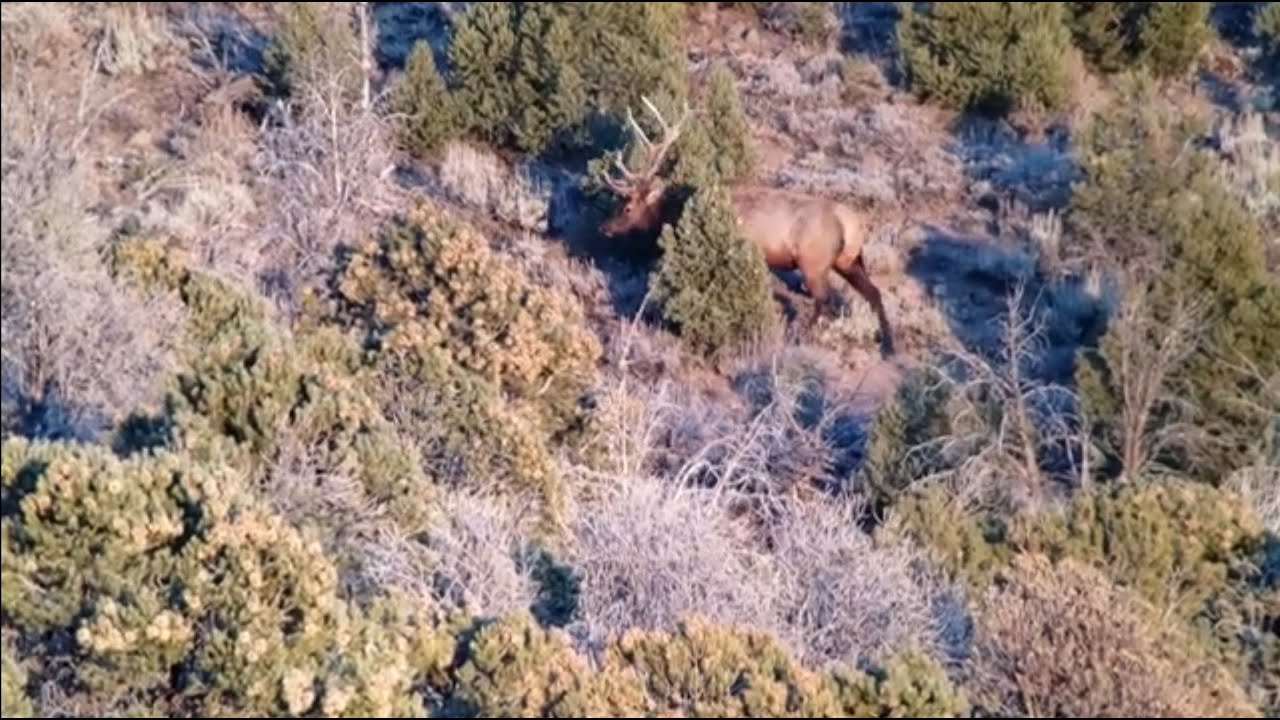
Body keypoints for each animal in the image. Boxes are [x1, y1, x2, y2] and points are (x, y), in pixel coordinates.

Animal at [597, 96, 896, 358]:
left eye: (627, 207)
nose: (605, 227)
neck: (677, 210)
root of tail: (852, 223)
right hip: (849, 260)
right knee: (873, 293)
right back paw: (889, 346)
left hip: (814, 261)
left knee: (825, 299)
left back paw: (801, 338)